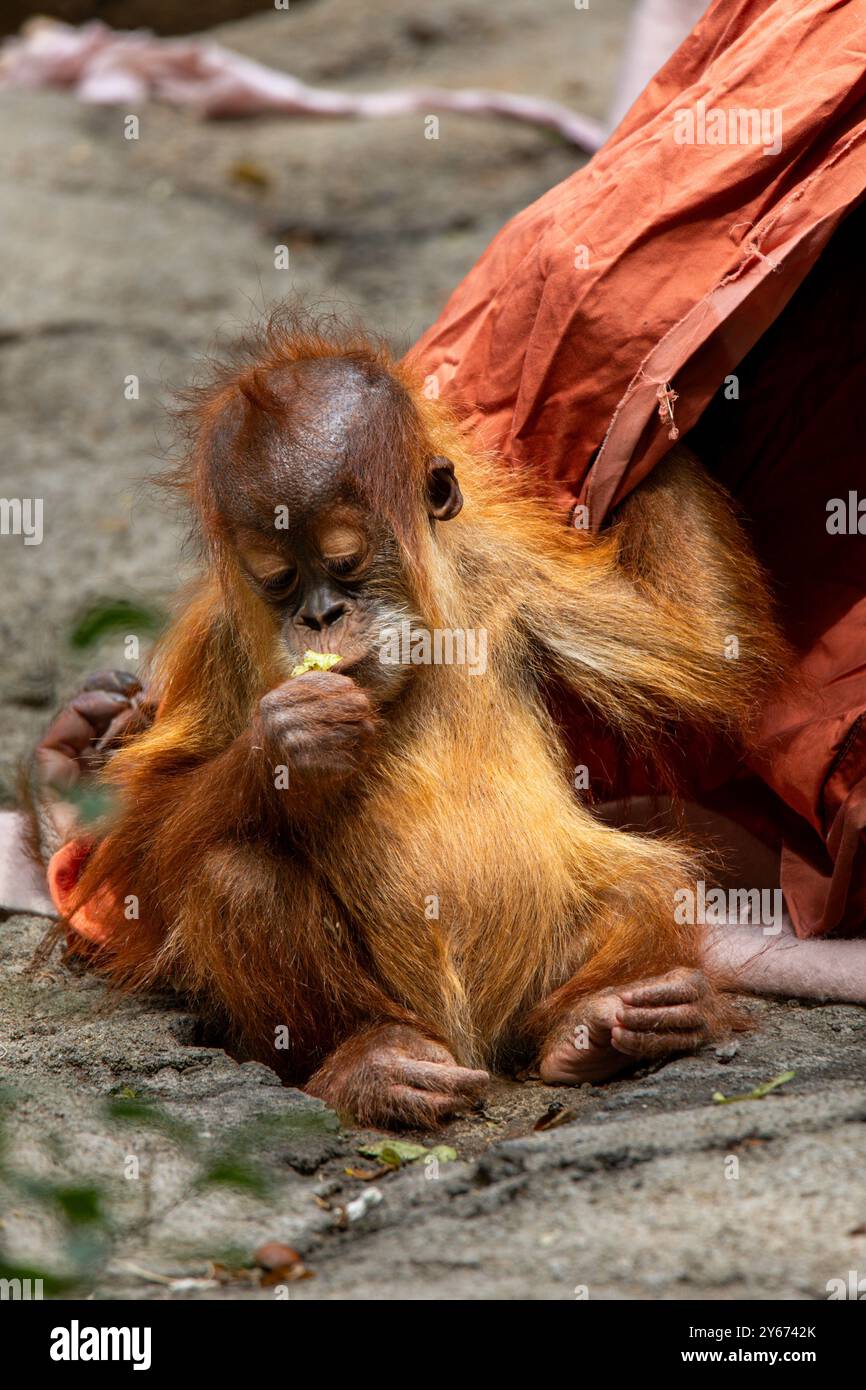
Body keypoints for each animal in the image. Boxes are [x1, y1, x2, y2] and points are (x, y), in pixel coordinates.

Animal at [36, 317, 790, 1129]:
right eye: (278, 579)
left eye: (346, 561)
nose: (320, 617)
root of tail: (474, 1042)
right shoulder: (219, 639)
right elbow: (141, 832)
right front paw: (288, 739)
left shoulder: (514, 572)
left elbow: (701, 654)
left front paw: (678, 394)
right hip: (401, 1009)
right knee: (233, 876)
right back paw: (375, 1061)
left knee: (645, 884)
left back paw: (603, 1022)